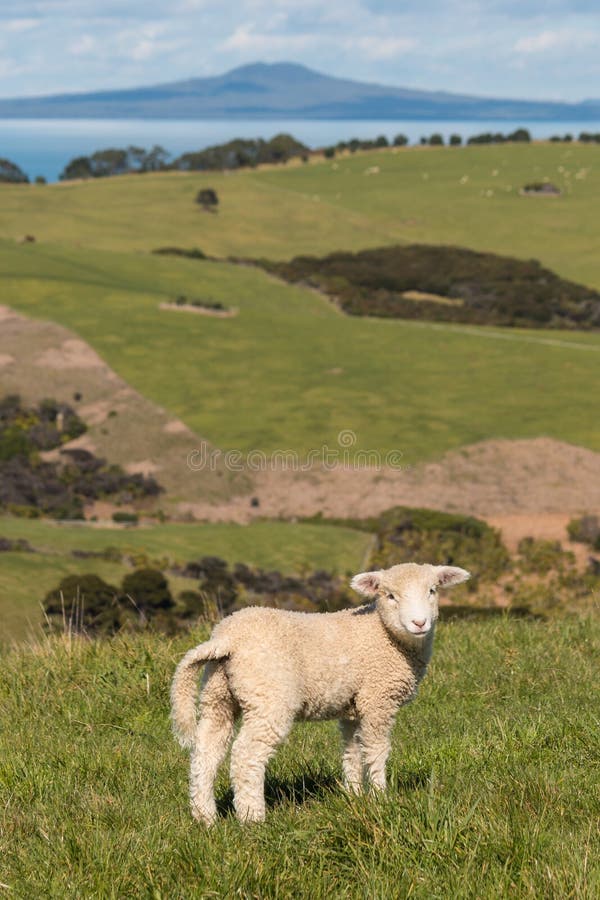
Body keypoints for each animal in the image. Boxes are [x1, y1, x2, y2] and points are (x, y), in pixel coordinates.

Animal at [171, 562, 470, 824]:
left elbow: (352, 752)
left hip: (218, 694)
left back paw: (205, 817)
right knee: (246, 756)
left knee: (206, 751)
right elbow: (376, 751)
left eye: (432, 590)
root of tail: (227, 639)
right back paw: (252, 819)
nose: (419, 623)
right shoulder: (378, 699)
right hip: (269, 696)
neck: (384, 634)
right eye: (390, 596)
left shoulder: (353, 707)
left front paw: (354, 796)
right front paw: (380, 798)